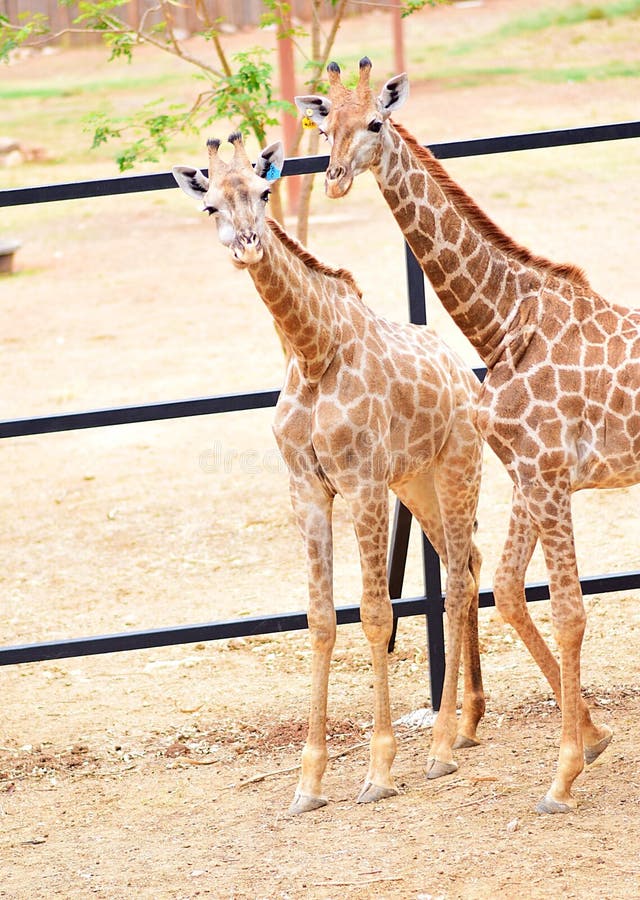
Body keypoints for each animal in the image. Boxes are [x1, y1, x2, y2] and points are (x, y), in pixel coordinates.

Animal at [173, 132, 485, 814]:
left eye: (263, 192)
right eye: (210, 205)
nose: (248, 244)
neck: (313, 352)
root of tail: (466, 375)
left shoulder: (362, 483)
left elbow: (375, 613)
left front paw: (379, 770)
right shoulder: (308, 490)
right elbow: (320, 620)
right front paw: (309, 782)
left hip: (456, 467)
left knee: (456, 580)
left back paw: (442, 746)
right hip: (416, 483)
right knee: (470, 564)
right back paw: (469, 723)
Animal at [295, 58, 639, 814]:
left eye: (376, 123)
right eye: (325, 125)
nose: (334, 176)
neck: (506, 322)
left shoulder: (547, 472)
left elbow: (568, 610)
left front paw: (561, 777)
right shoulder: (533, 473)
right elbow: (509, 591)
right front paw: (593, 739)